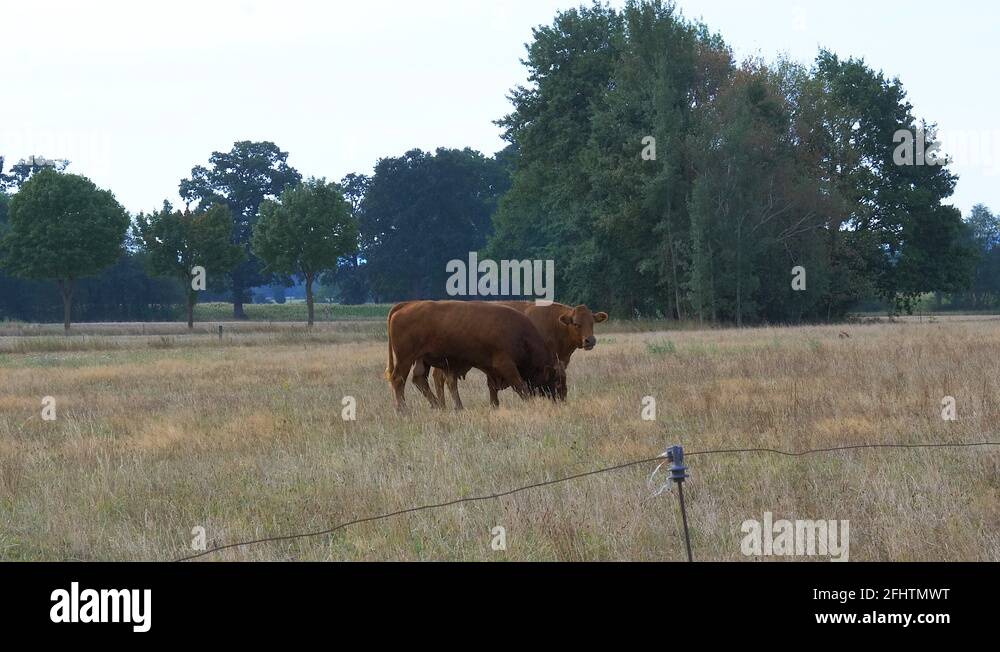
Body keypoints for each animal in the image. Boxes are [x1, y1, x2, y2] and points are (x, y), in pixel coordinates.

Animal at [384, 300, 566, 410]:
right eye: (557, 381)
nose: (563, 398)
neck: (521, 336)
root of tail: (407, 305)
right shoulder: (505, 364)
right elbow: (520, 386)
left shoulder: (491, 369)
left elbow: (493, 390)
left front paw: (494, 406)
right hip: (405, 358)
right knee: (398, 380)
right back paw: (403, 410)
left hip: (422, 360)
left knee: (420, 379)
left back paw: (443, 407)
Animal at [432, 301, 608, 409]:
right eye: (576, 324)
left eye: (592, 322)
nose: (590, 340)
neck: (554, 324)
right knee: (440, 379)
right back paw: (442, 406)